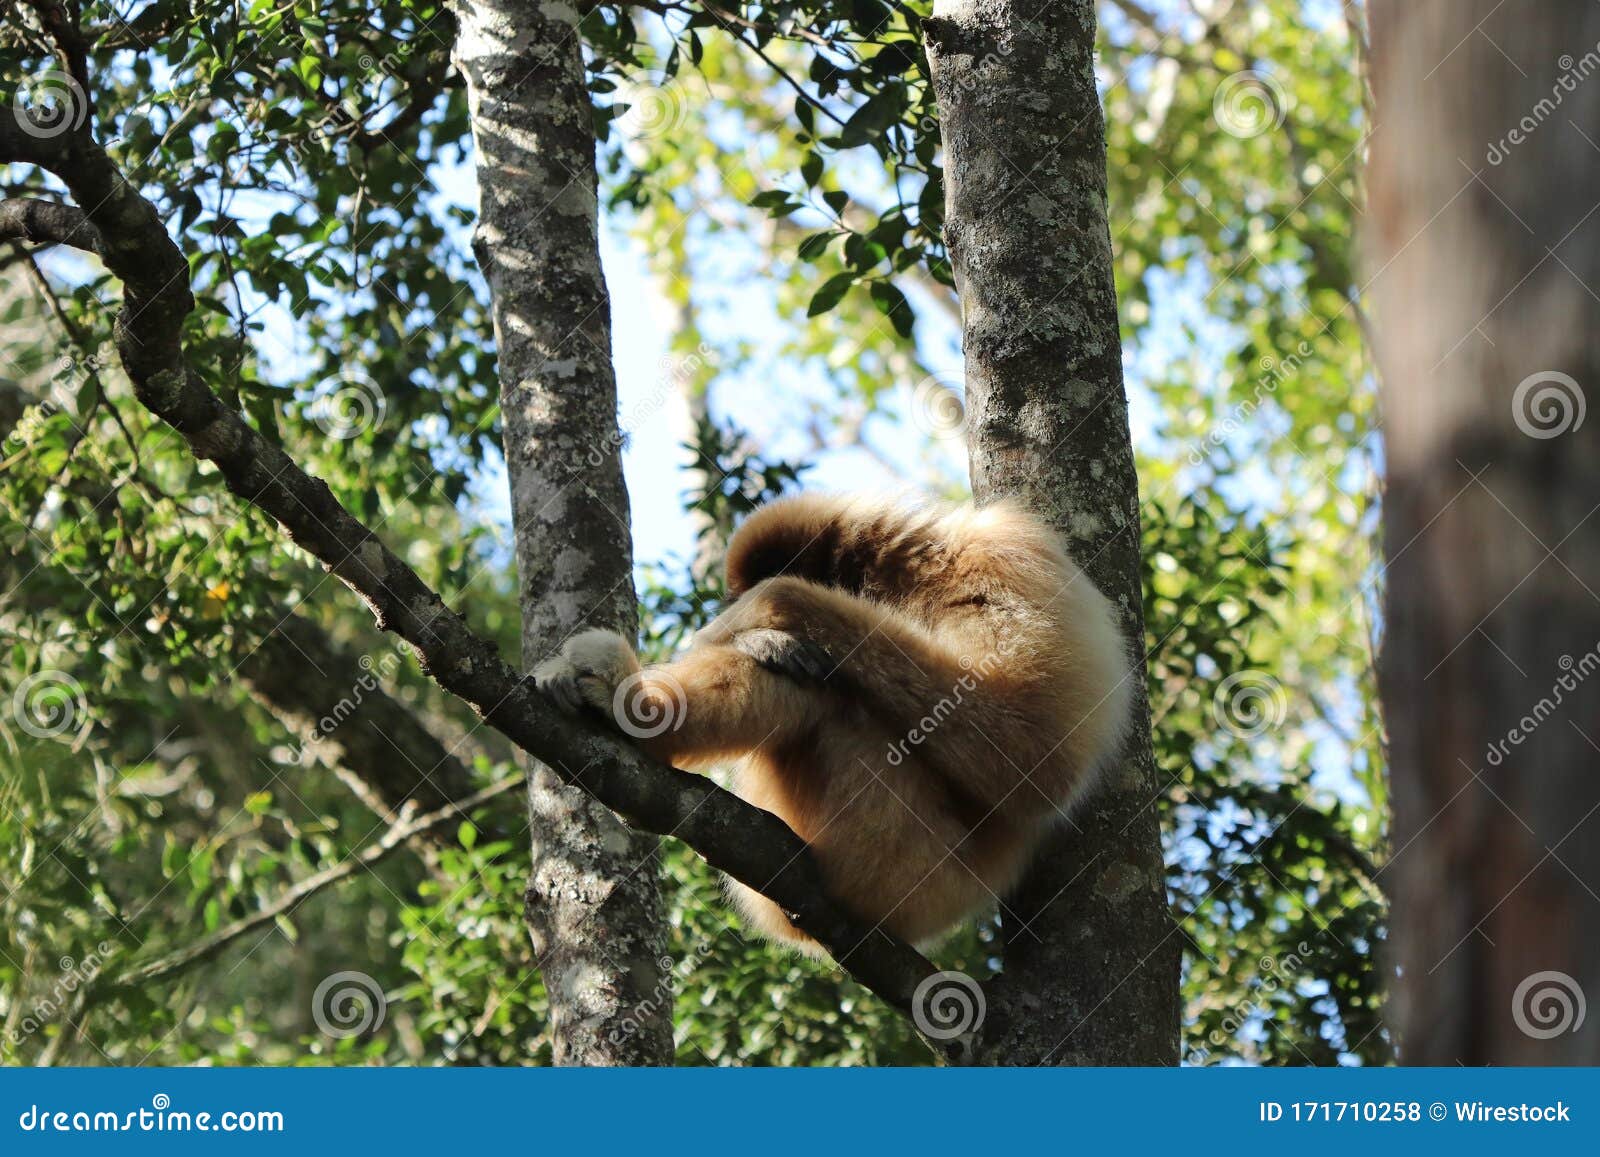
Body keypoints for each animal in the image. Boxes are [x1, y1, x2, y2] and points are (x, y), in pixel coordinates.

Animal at [532, 492, 1134, 953]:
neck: (923, 576)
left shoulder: (1007, 558)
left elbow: (1038, 757)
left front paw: (756, 615)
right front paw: (757, 635)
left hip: (898, 864)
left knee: (831, 697)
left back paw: (638, 716)